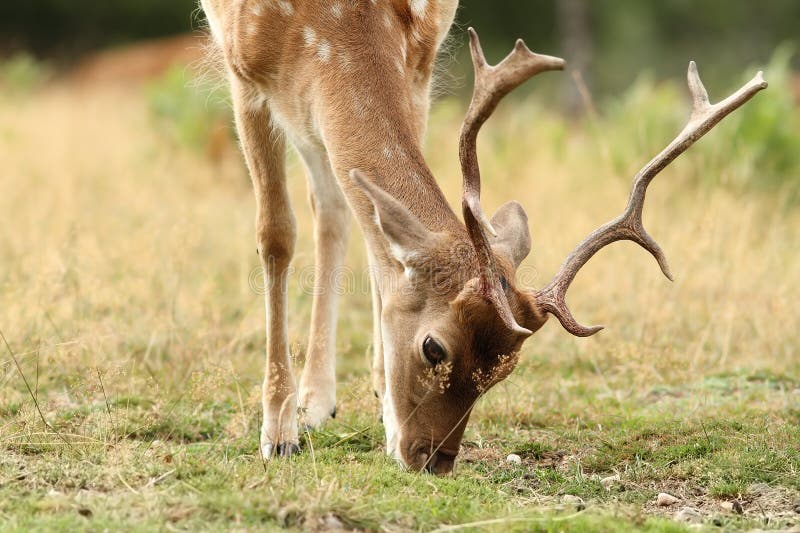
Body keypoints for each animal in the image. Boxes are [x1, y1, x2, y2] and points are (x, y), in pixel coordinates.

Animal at [199, 0, 767, 474]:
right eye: (433, 348)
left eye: (503, 371)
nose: (434, 461)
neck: (335, 25)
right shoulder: (244, 73)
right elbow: (276, 235)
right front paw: (277, 434)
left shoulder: (420, 63)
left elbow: (382, 253)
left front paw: (380, 410)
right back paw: (305, 408)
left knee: (335, 205)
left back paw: (325, 400)